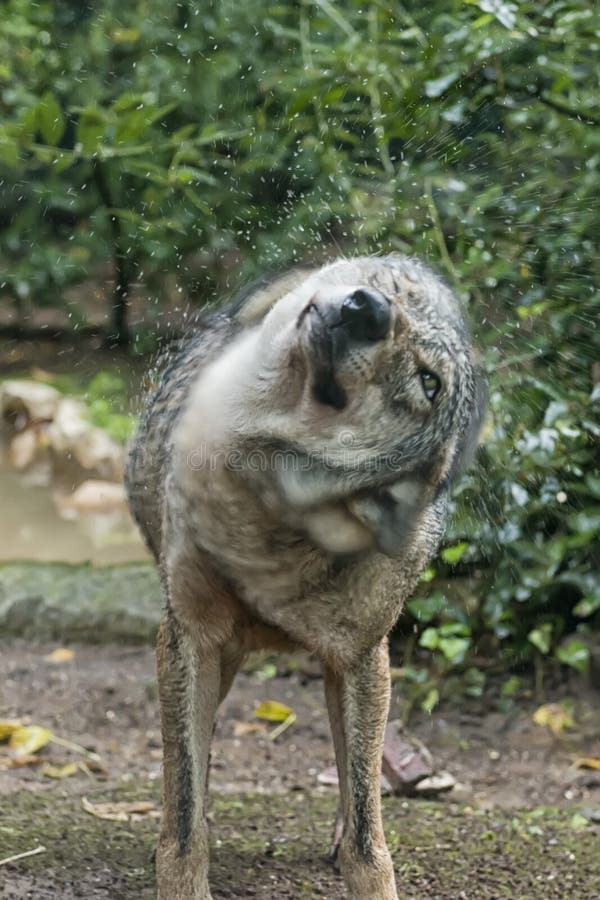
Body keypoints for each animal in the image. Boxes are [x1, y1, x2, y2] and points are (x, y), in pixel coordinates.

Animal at [125, 254, 485, 900]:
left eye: (429, 383)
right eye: (396, 292)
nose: (368, 306)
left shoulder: (361, 656)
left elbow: (368, 830)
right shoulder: (190, 638)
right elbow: (185, 815)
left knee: (356, 773)